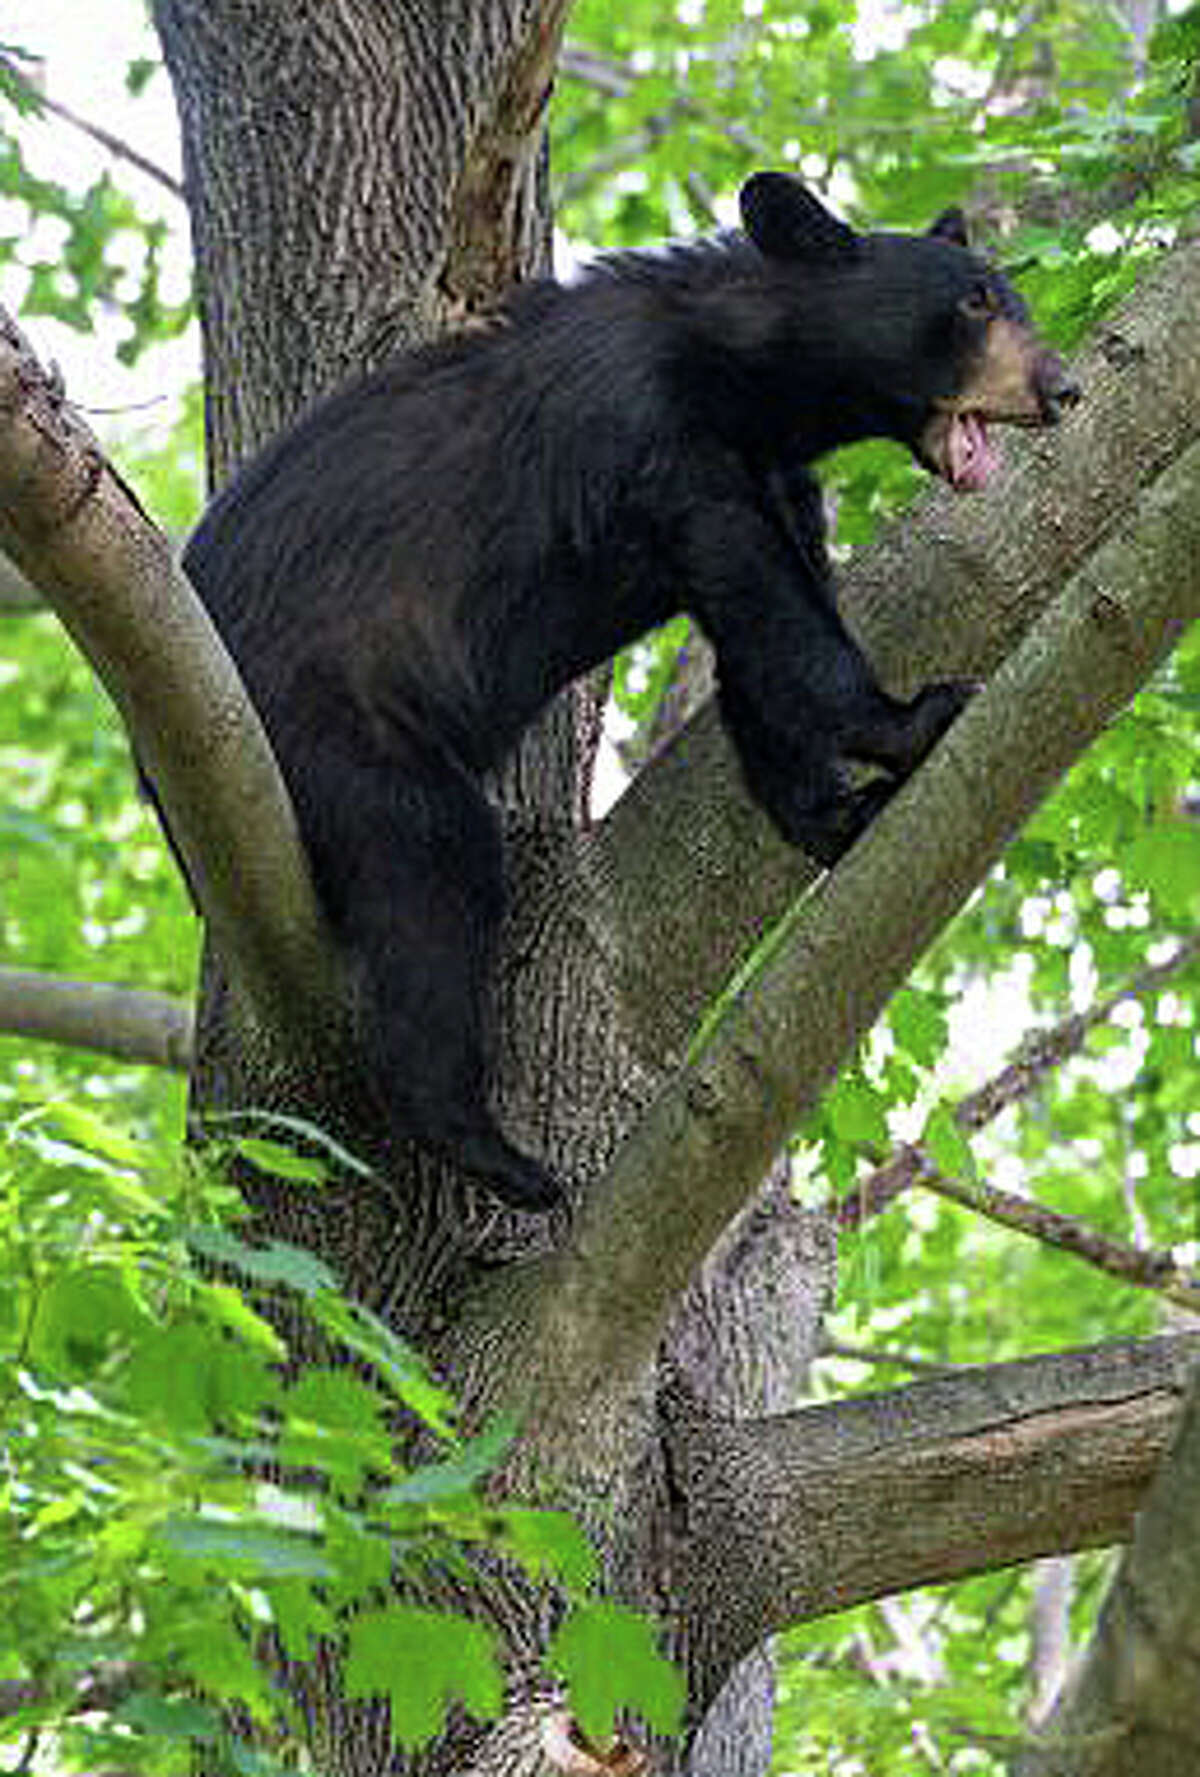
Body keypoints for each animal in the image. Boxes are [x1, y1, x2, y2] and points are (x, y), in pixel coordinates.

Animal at [172, 170, 1078, 1213]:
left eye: (1012, 299)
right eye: (974, 302)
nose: (1063, 387)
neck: (737, 373)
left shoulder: (771, 472)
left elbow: (761, 636)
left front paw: (833, 813)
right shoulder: (648, 431)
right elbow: (767, 604)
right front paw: (911, 718)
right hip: (329, 728)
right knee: (432, 874)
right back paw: (490, 1148)